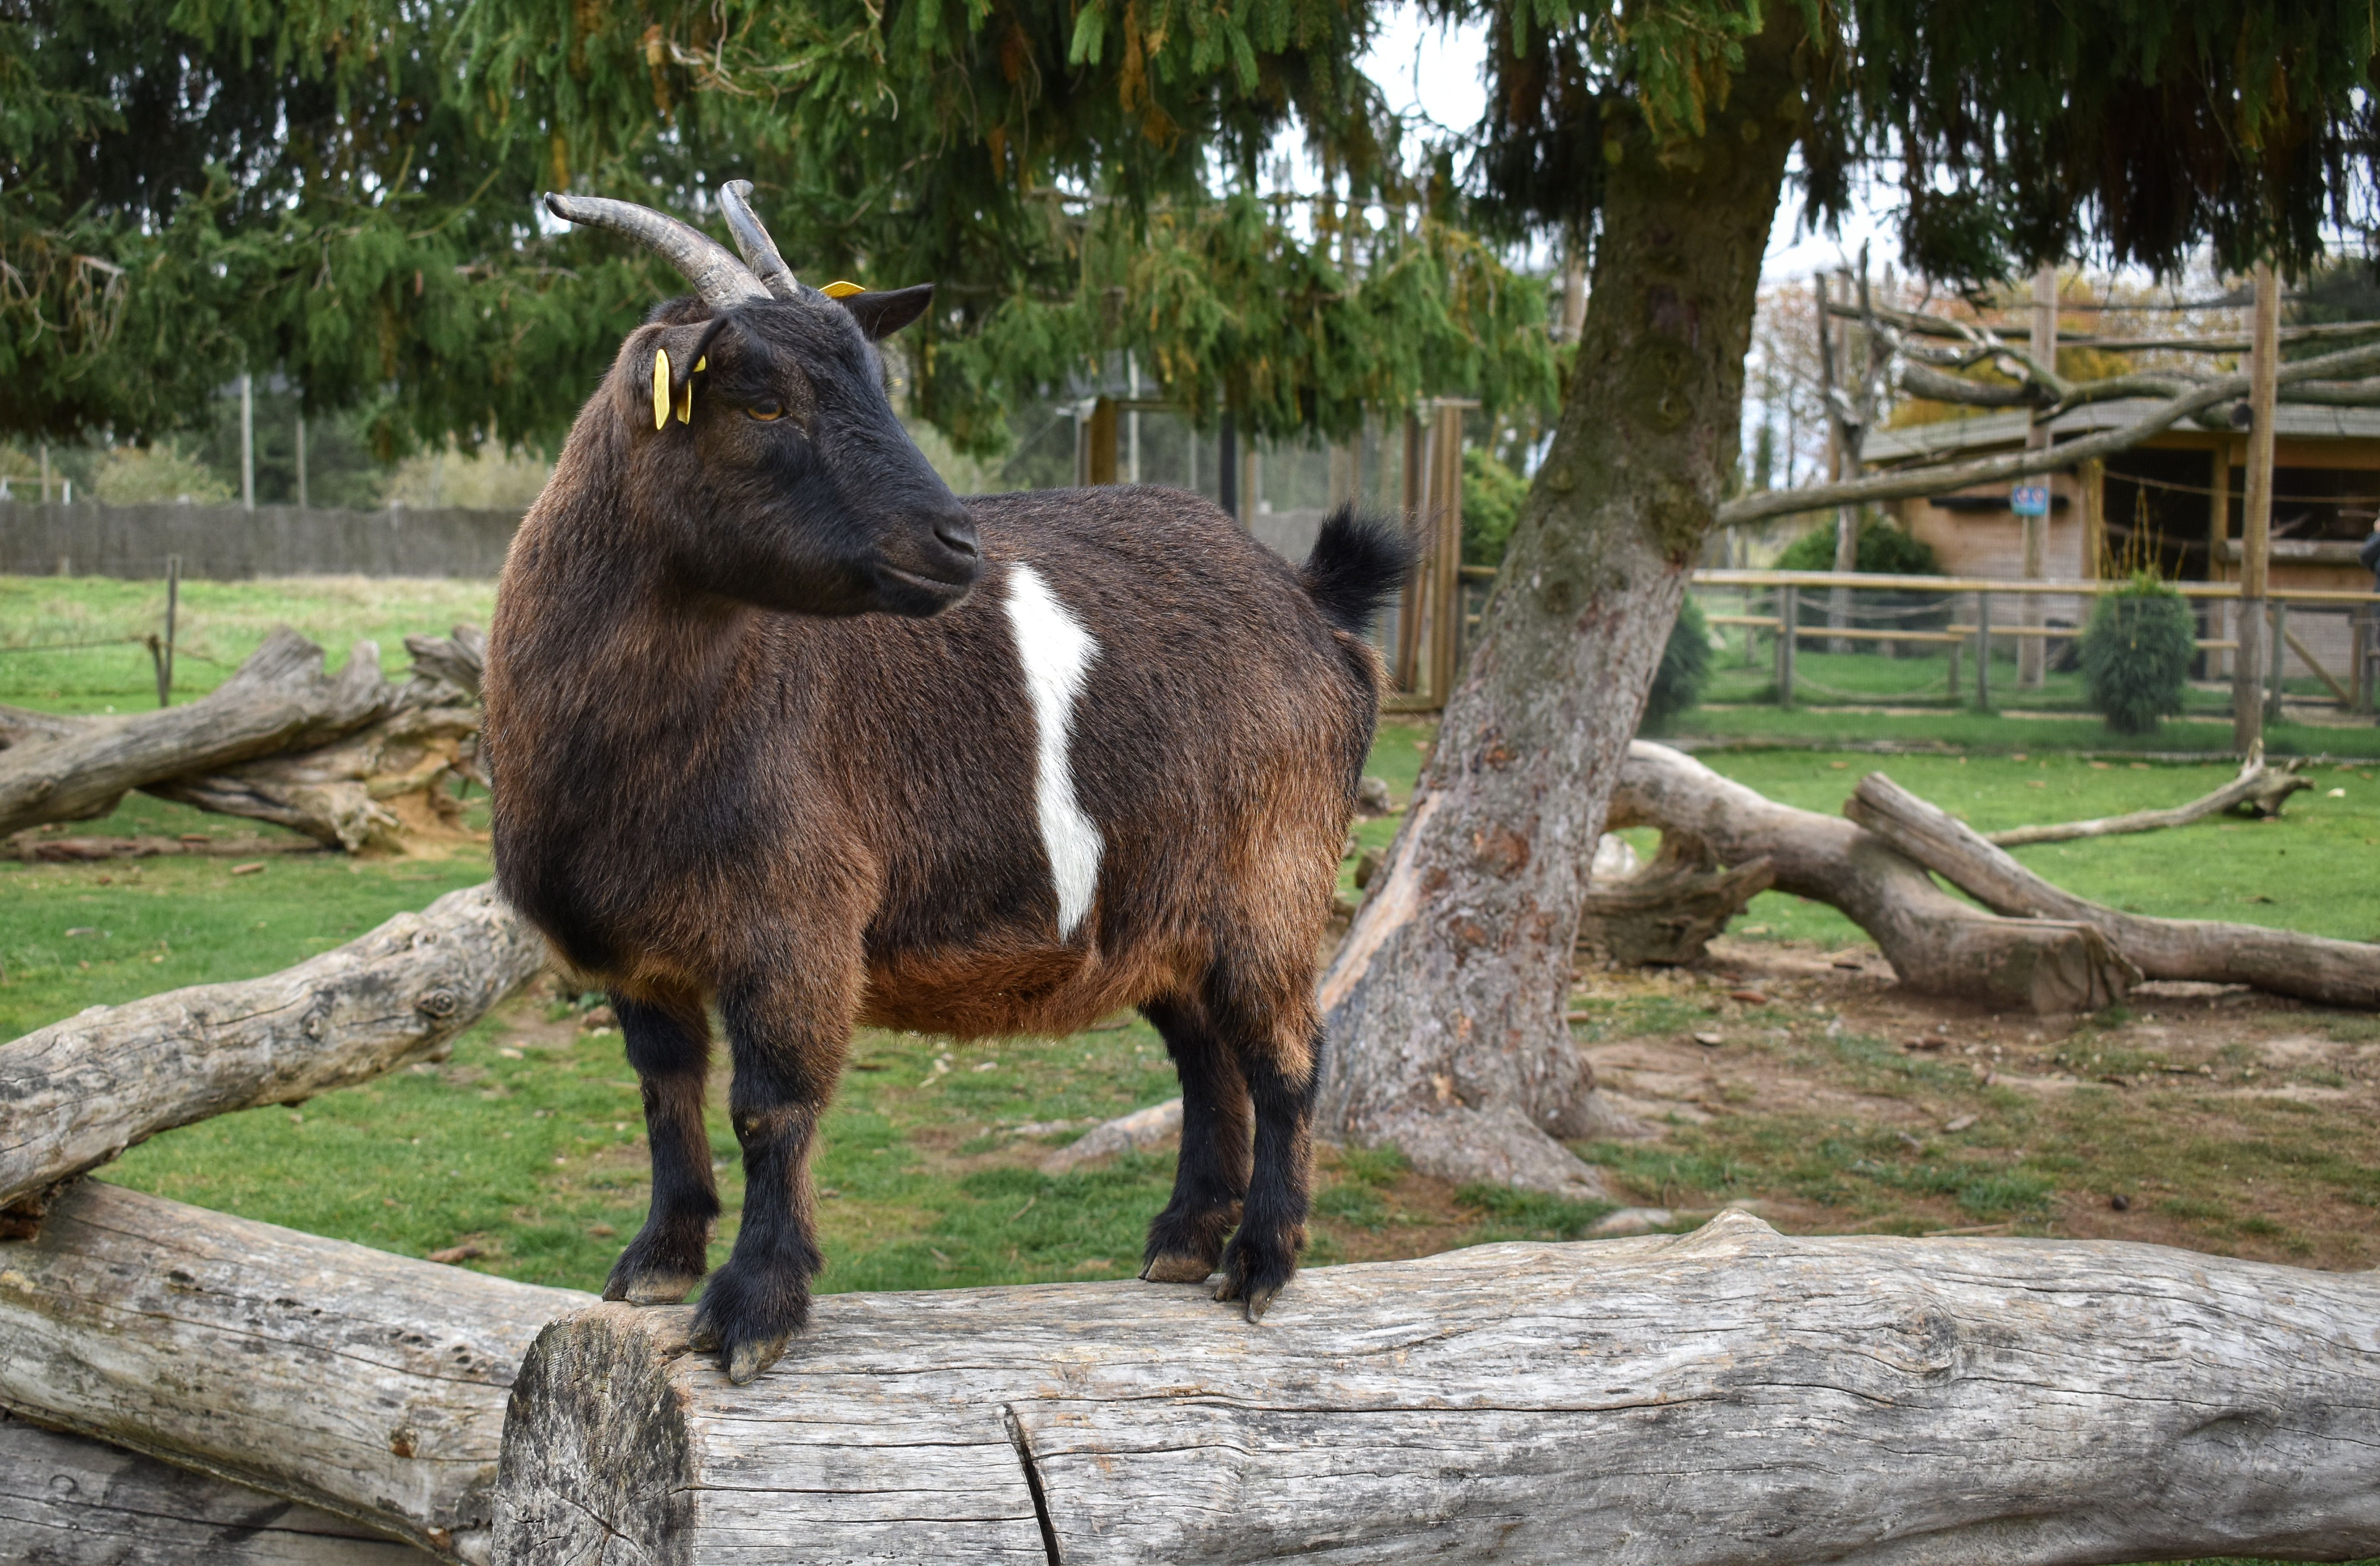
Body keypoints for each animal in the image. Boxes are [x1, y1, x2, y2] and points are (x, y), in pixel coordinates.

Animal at [483, 182, 1408, 1382]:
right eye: (762, 399)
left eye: (878, 382)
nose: (956, 542)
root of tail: (1310, 601)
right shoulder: (640, 952)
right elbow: (663, 1087)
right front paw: (657, 1260)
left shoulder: (796, 924)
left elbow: (771, 1104)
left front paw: (754, 1308)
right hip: (1158, 910)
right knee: (1207, 1059)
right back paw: (1178, 1239)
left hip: (1272, 879)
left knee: (1287, 1052)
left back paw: (1260, 1260)